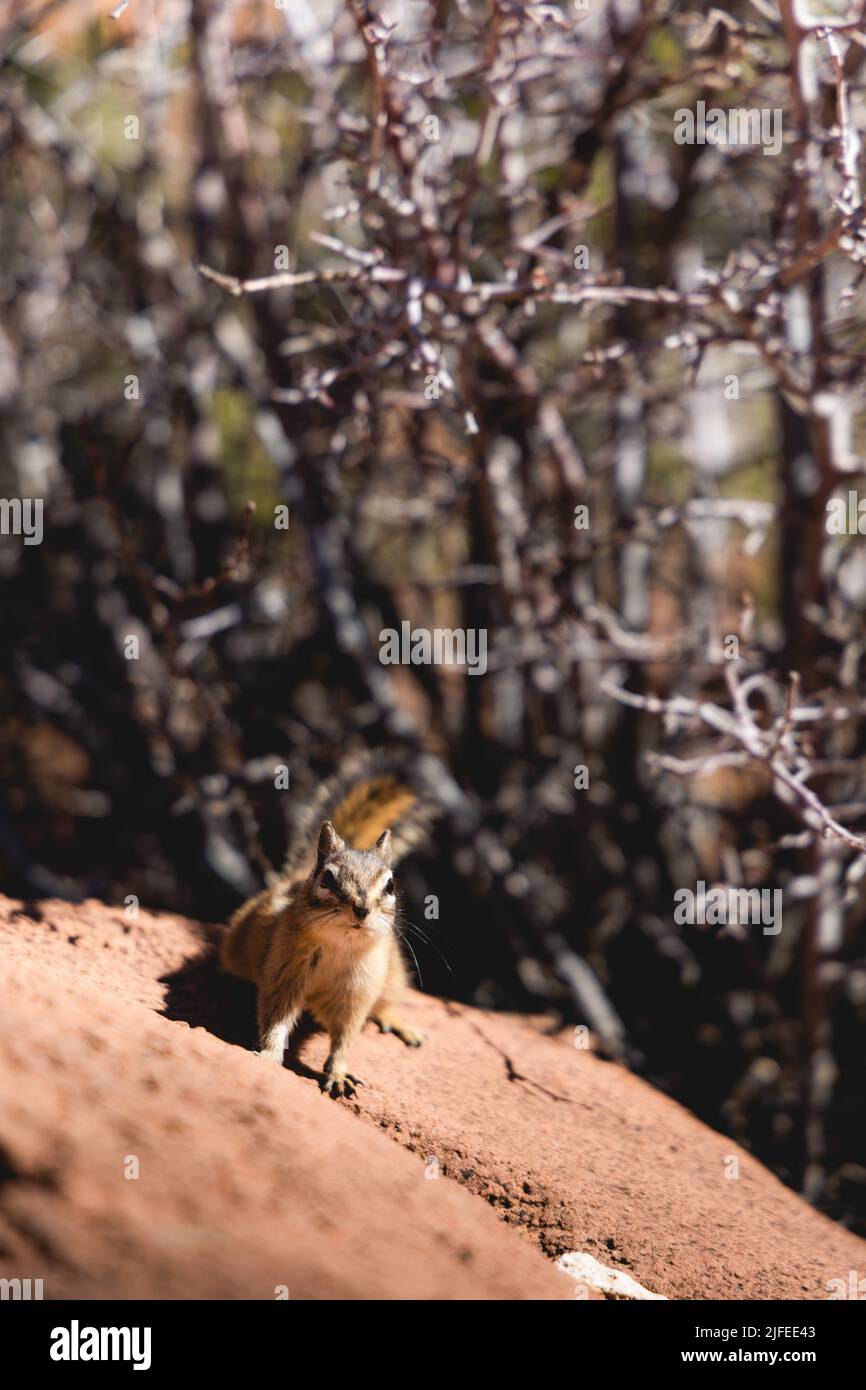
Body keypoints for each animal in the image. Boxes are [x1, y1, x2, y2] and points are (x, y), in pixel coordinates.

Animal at [220, 753, 436, 1098]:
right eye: (328, 879)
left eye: (390, 885)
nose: (361, 909)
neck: (341, 945)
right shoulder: (284, 971)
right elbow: (276, 1017)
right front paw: (268, 1055)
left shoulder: (358, 989)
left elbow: (346, 1034)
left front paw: (338, 1073)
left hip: (393, 977)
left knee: (383, 1004)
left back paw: (399, 1023)